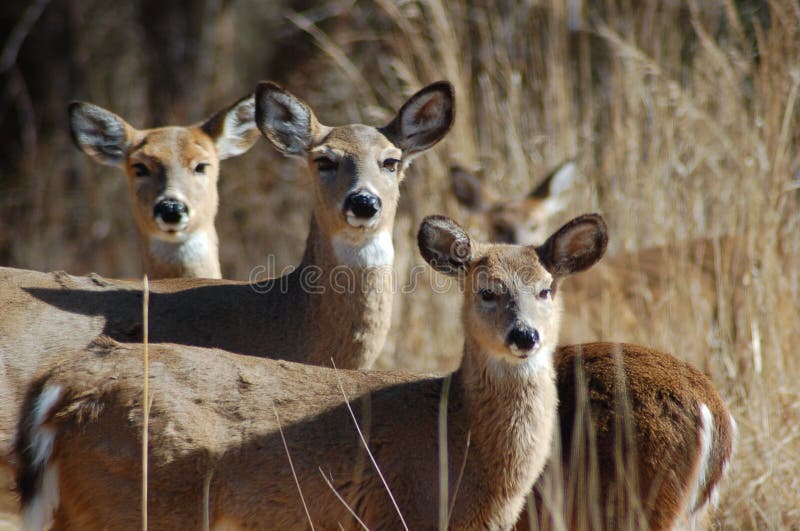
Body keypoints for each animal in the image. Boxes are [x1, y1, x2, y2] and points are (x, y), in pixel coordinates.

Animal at [14, 213, 609, 530]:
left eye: (546, 289)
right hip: (138, 497)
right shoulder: (403, 512)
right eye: (487, 290)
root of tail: (63, 386)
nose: (525, 336)